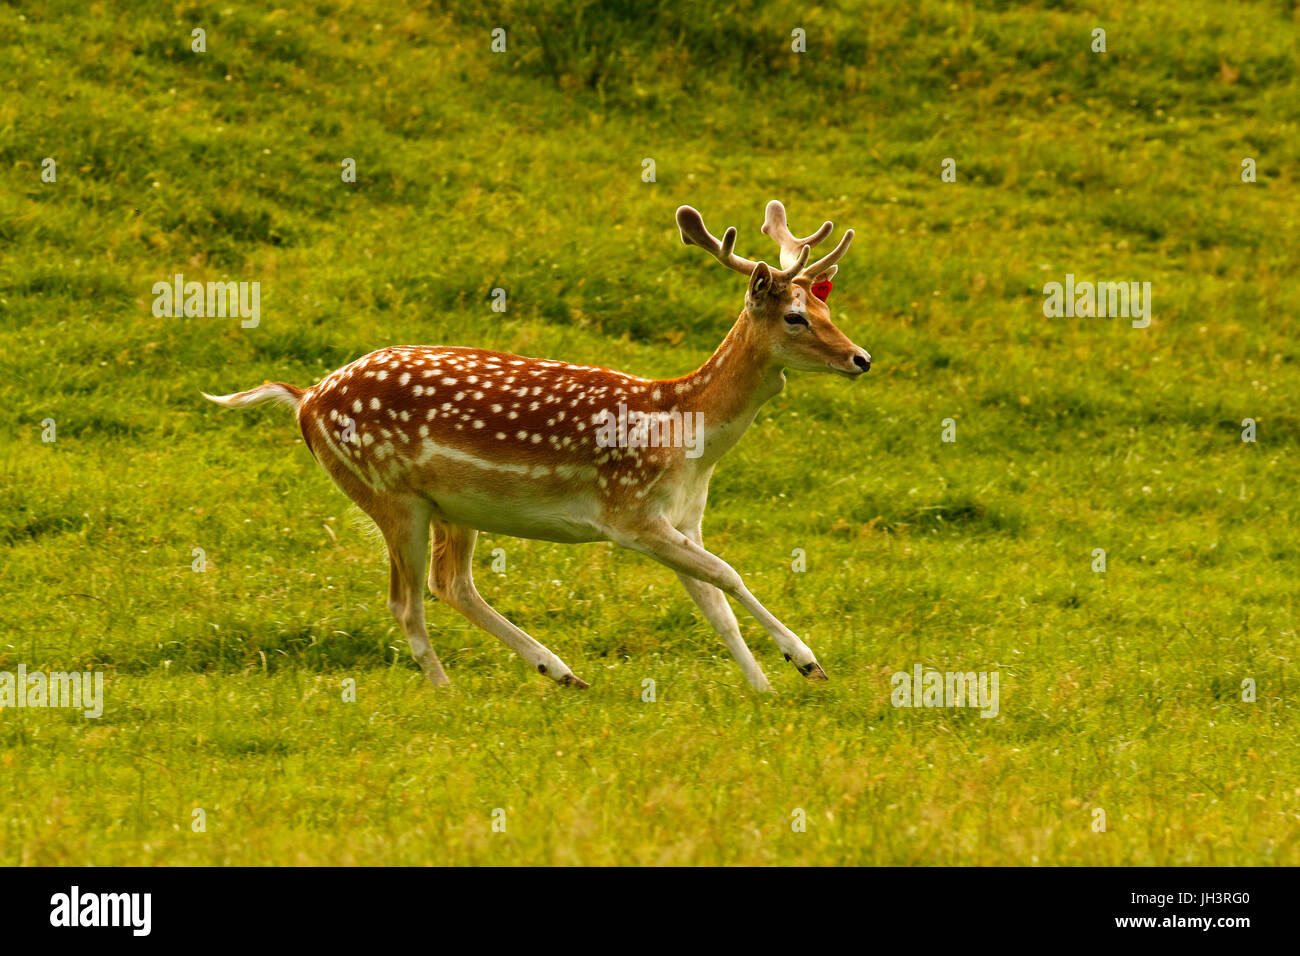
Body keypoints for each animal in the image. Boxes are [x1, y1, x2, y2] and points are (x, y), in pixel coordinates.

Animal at [203, 200, 870, 692]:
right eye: (794, 318)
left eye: (824, 308)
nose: (861, 358)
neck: (687, 437)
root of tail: (306, 398)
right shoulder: (628, 514)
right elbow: (728, 575)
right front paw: (805, 661)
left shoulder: (684, 519)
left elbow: (716, 605)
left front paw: (765, 687)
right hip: (390, 495)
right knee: (406, 601)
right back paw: (448, 690)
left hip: (452, 506)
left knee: (450, 584)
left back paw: (562, 672)